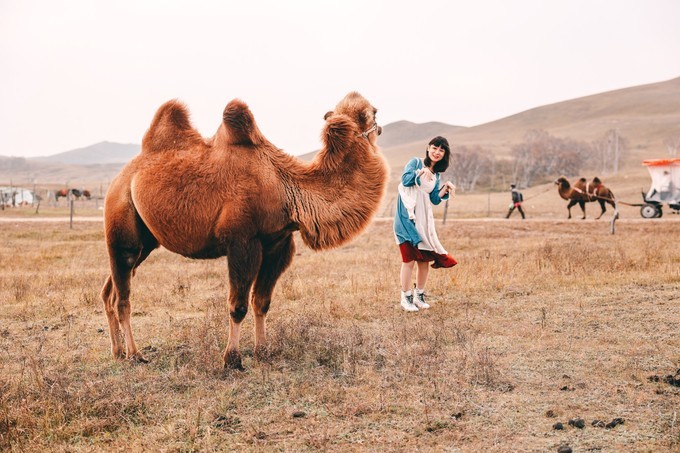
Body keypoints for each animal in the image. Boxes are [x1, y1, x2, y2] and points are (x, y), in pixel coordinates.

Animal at [100, 92, 389, 370]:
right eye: (373, 111)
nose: (380, 127)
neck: (287, 188)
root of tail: (120, 178)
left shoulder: (279, 243)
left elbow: (262, 301)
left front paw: (263, 352)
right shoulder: (243, 241)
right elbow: (238, 305)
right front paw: (232, 359)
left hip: (146, 242)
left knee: (109, 291)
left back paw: (117, 352)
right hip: (121, 224)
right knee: (122, 296)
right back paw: (135, 355)